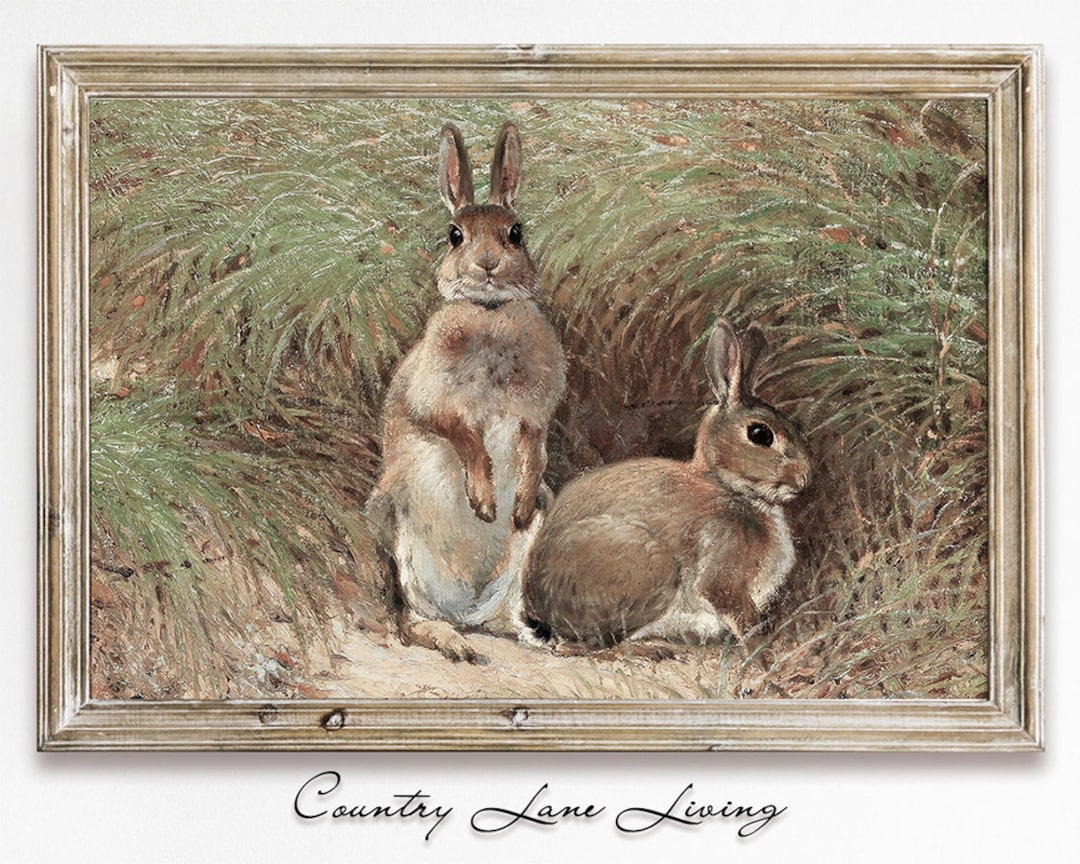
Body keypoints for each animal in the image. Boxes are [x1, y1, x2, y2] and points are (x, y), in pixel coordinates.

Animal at [366, 122, 566, 664]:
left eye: (516, 232)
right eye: (455, 235)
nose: (489, 264)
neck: (490, 314)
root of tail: (467, 606)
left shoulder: (535, 414)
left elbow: (534, 447)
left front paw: (513, 505)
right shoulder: (433, 401)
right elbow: (463, 435)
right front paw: (483, 502)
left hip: (523, 552)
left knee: (505, 616)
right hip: (401, 538)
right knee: (410, 620)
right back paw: (453, 642)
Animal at [522, 316, 809, 652]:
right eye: (760, 434)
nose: (804, 479)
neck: (727, 486)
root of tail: (537, 606)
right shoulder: (723, 572)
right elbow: (738, 613)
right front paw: (762, 646)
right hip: (652, 568)